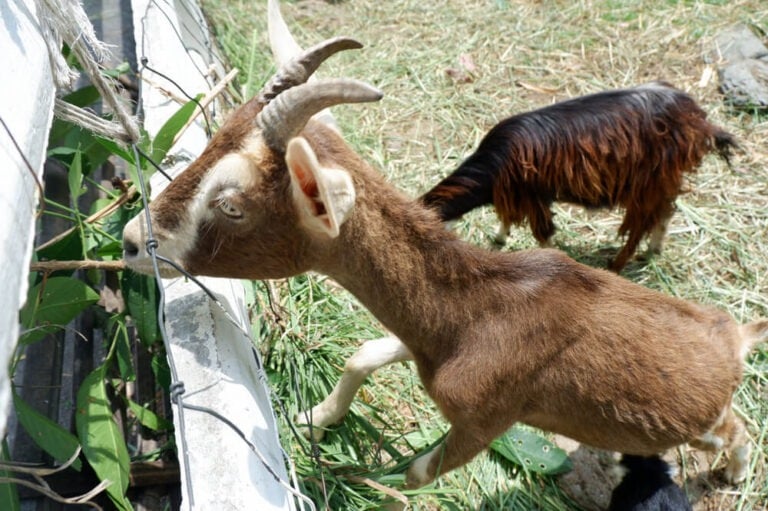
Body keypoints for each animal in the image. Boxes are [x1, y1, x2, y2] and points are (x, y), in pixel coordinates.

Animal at [420, 84, 737, 271]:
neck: (494, 165)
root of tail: (698, 121)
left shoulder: (530, 195)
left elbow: (544, 234)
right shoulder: (514, 195)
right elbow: (507, 221)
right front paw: (498, 239)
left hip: (650, 181)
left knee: (643, 221)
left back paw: (617, 264)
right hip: (665, 180)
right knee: (665, 213)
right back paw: (652, 252)